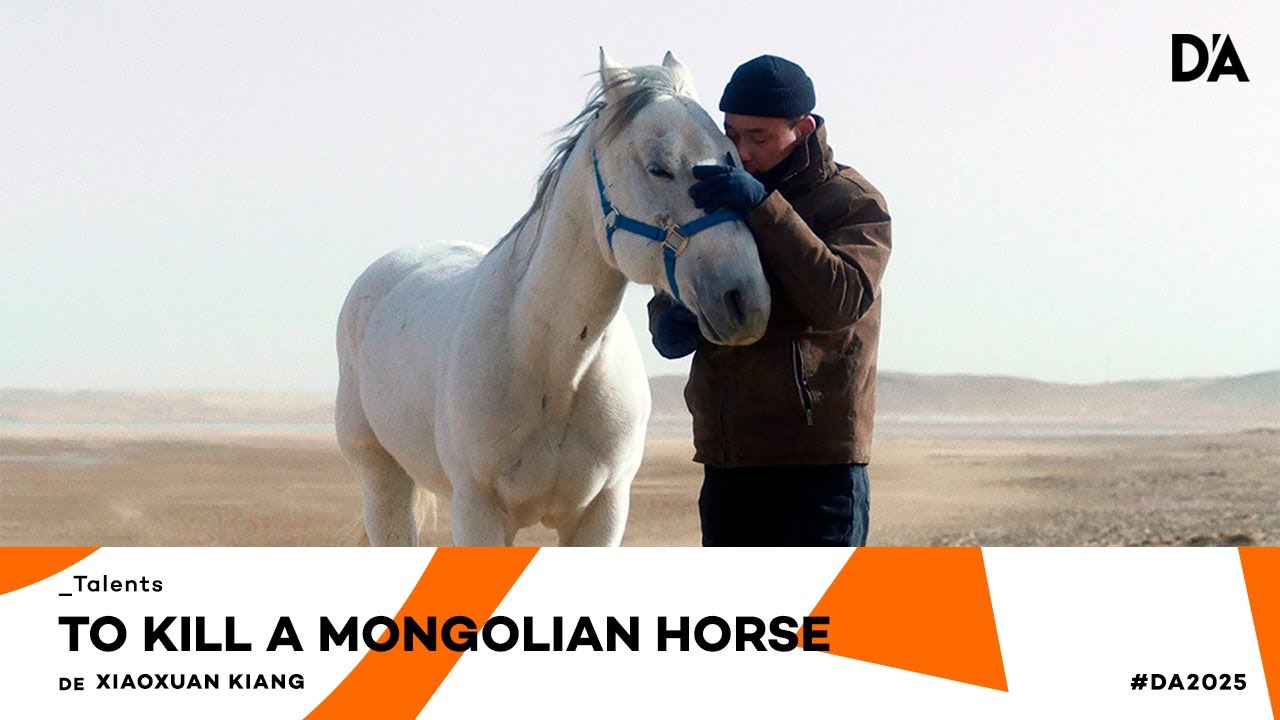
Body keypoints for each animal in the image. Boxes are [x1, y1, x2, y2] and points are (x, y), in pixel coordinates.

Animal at [335, 50, 771, 546]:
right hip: (382, 478)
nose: (744, 299)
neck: (553, 367)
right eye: (659, 166)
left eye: (733, 158)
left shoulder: (602, 513)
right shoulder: (478, 511)